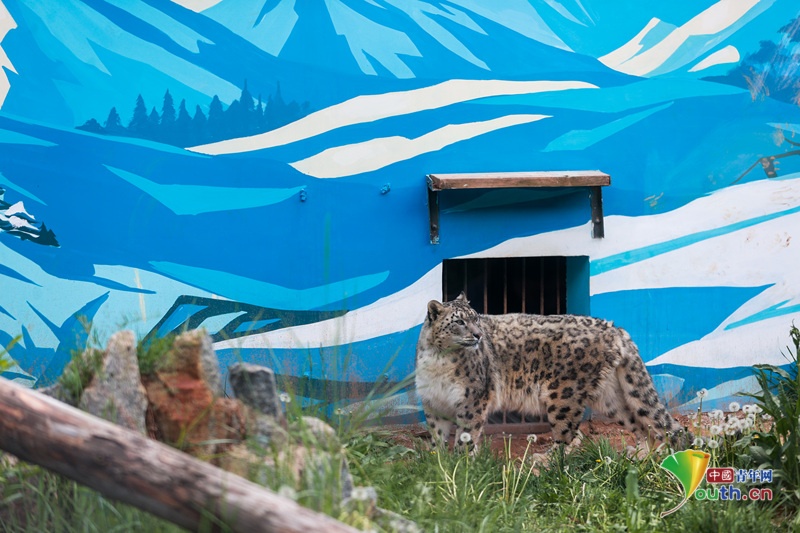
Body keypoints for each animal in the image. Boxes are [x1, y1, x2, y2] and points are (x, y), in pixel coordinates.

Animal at [415, 292, 688, 453]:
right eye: (460, 321)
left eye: (477, 318)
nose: (478, 335)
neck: (439, 361)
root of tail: (615, 328)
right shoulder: (433, 402)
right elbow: (437, 435)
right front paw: (437, 463)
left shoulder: (473, 401)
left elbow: (466, 435)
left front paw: (460, 466)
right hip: (610, 398)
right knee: (640, 423)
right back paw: (640, 457)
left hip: (563, 396)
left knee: (566, 435)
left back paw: (543, 462)